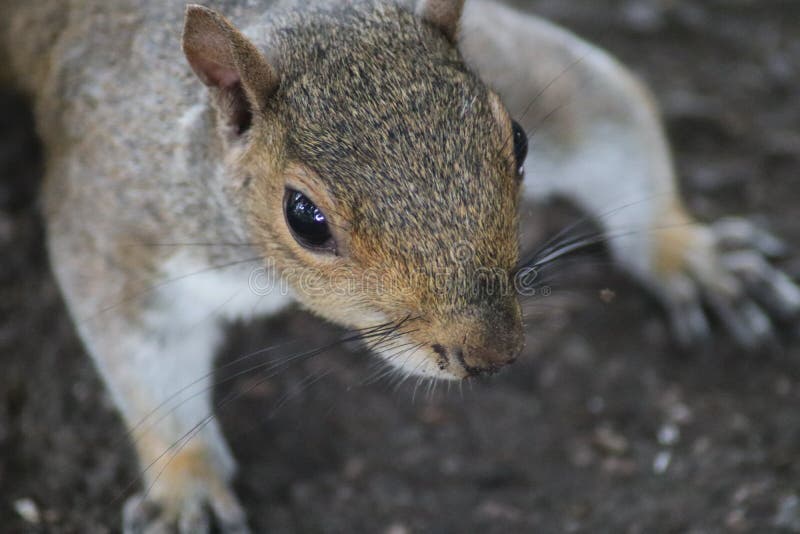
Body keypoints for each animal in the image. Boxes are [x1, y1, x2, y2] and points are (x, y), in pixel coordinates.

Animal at [2, 0, 799, 532]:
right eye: (304, 217)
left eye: (517, 139)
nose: (492, 355)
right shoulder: (123, 220)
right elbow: (139, 348)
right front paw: (186, 483)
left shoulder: (523, 66)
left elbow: (612, 109)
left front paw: (692, 256)